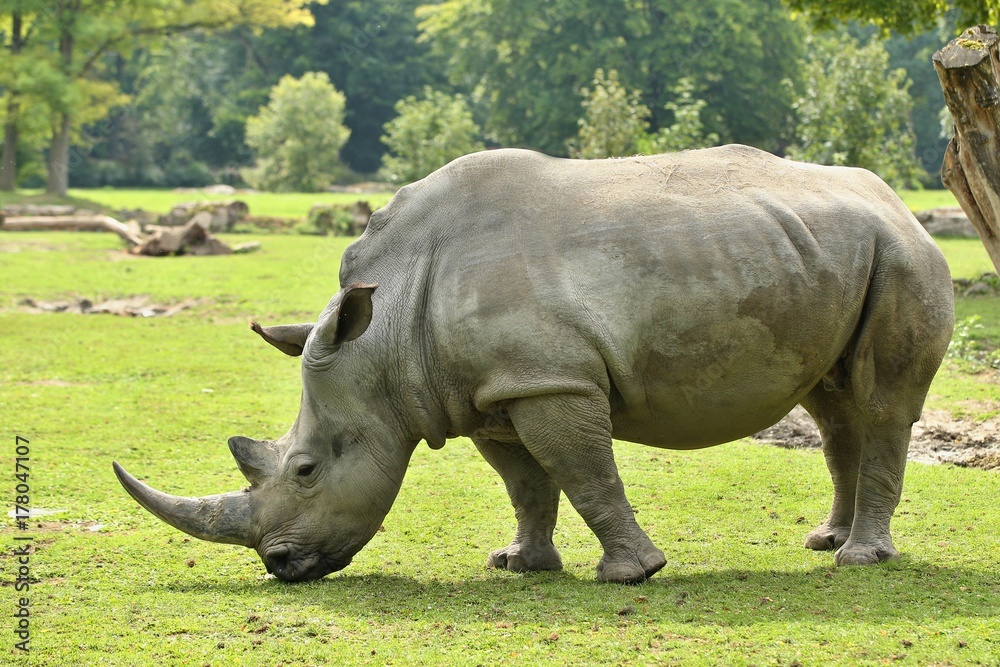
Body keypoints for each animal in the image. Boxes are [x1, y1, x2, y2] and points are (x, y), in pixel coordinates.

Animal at [114, 146, 955, 584]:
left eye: (307, 469)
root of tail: (900, 203)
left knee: (881, 404)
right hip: (827, 254)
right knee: (832, 405)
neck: (384, 336)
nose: (281, 565)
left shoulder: (549, 379)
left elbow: (585, 473)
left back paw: (860, 559)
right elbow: (527, 483)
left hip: (903, 257)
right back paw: (825, 541)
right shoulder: (487, 391)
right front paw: (519, 563)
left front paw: (629, 574)